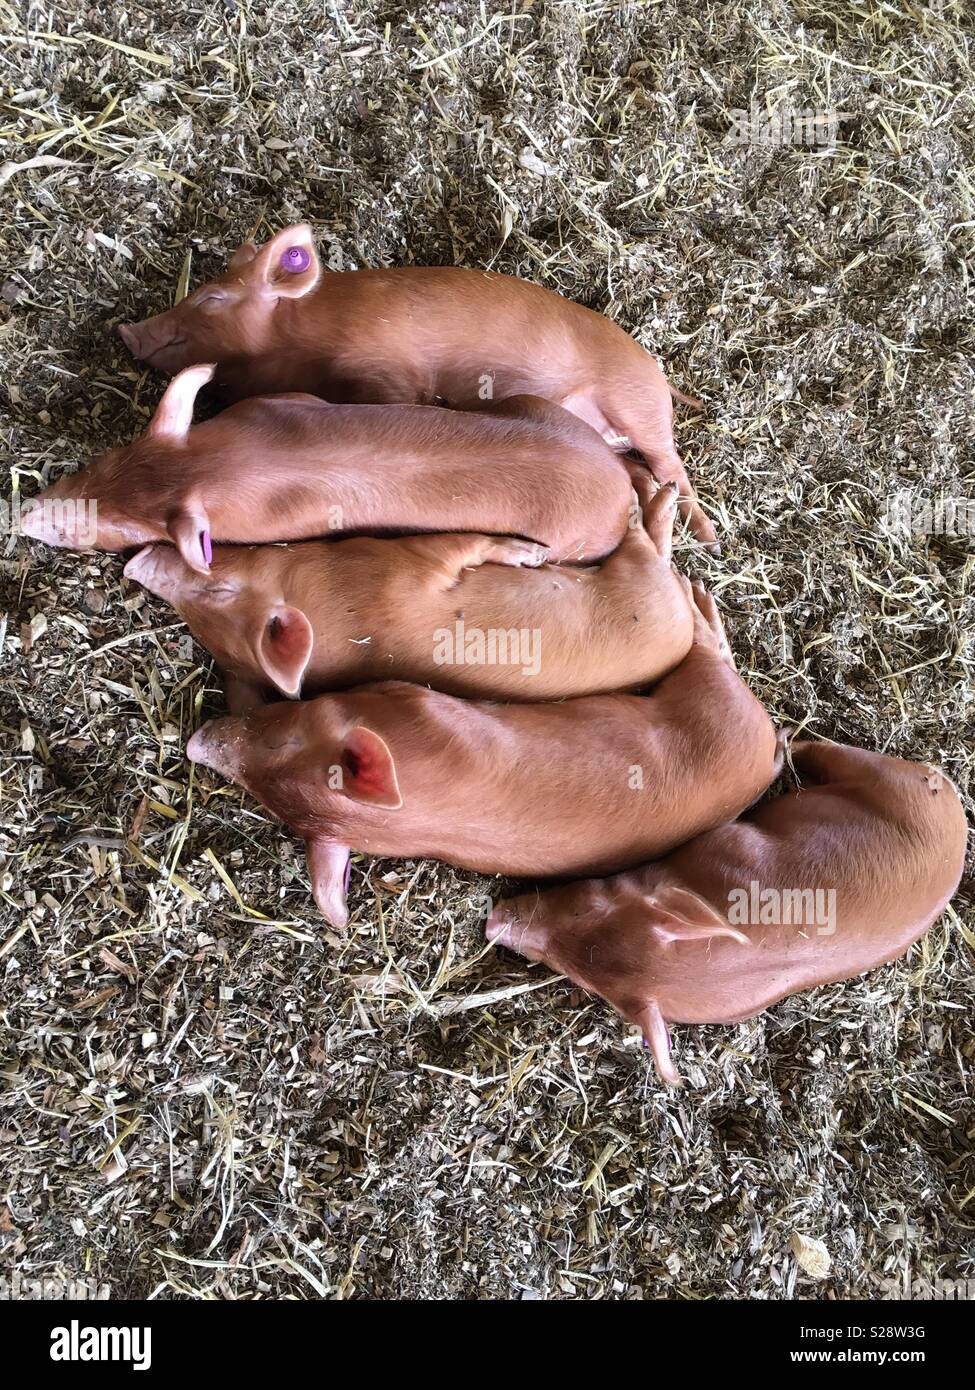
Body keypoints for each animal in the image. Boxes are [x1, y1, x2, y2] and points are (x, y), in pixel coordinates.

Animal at [19, 364, 634, 568]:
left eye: (121, 531)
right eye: (102, 460)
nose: (24, 518)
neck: (223, 468)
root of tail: (619, 490)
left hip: (571, 541)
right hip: (535, 408)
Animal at [117, 222, 715, 545]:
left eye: (211, 299)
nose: (126, 331)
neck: (301, 344)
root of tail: (658, 374)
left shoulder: (388, 370)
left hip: (635, 403)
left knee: (671, 464)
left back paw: (706, 534)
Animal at [122, 472, 693, 706]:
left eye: (219, 593)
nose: (137, 564)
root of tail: (682, 636)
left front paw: (531, 553)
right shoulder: (416, 564)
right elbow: (467, 542)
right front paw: (528, 553)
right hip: (640, 574)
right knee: (649, 544)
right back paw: (657, 501)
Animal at [185, 580, 778, 928]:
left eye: (285, 737)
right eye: (264, 796)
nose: (198, 743)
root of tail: (765, 749)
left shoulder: (411, 698)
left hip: (713, 701)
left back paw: (700, 600)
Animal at [486, 740, 968, 1086]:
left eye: (592, 905)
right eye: (582, 980)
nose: (493, 922)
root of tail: (955, 811)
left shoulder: (731, 843)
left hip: (881, 776)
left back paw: (793, 738)